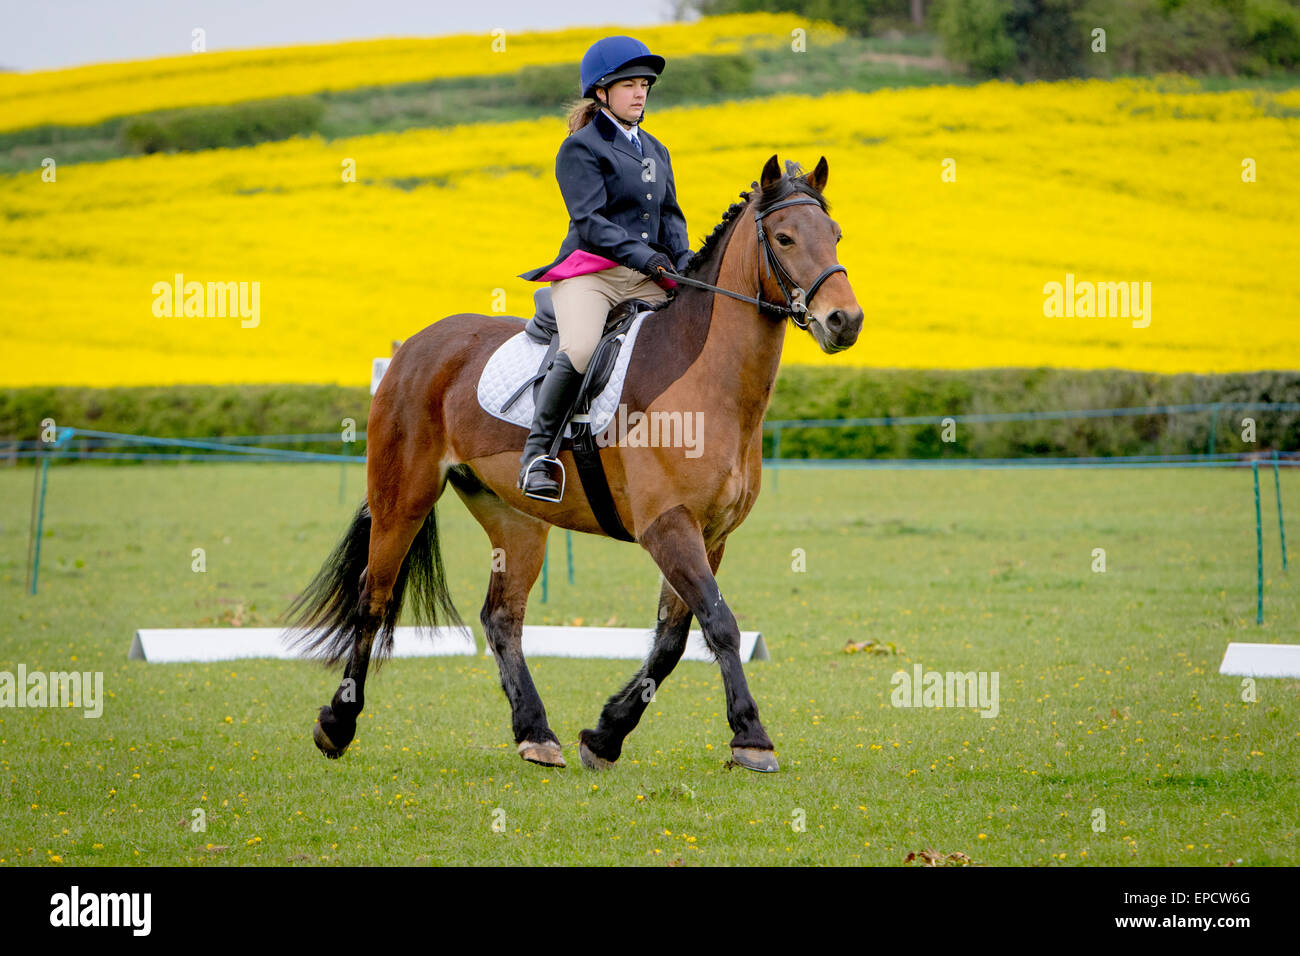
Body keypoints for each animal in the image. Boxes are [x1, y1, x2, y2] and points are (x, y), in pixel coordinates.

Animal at [285, 154, 863, 773]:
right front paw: (751, 738)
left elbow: (672, 640)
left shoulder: (710, 534)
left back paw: (536, 733)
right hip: (404, 497)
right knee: (373, 597)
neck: (712, 384)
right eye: (784, 237)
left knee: (502, 617)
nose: (844, 321)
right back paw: (337, 724)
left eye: (835, 235)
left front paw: (605, 735)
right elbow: (720, 624)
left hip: (515, 519)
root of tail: (413, 347)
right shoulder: (667, 525)